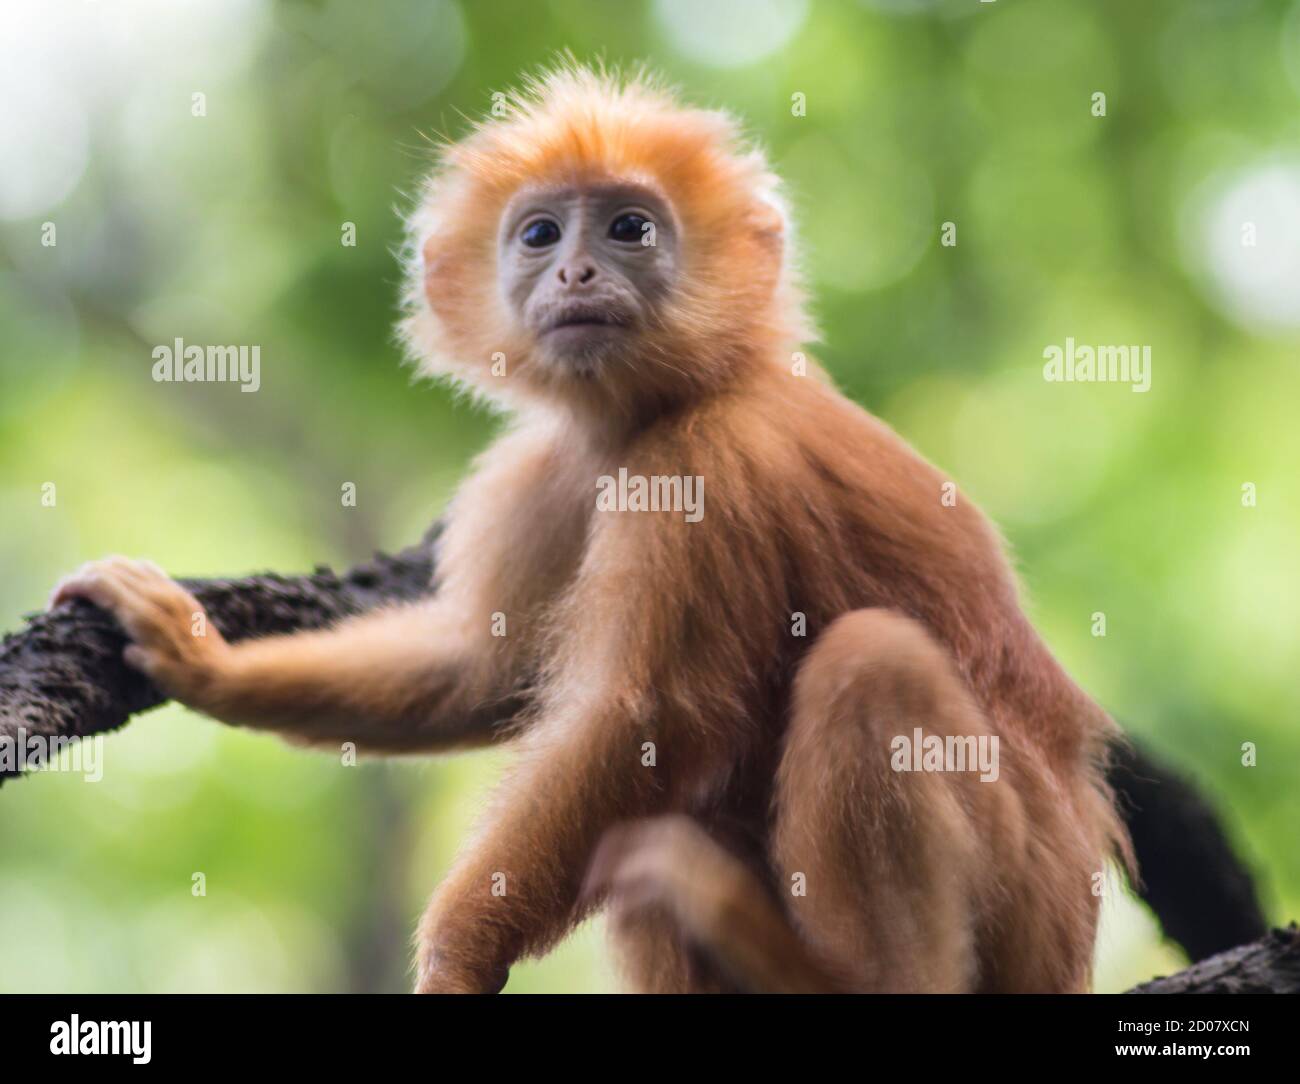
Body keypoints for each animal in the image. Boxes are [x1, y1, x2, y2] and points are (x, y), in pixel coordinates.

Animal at [49, 65, 1130, 994]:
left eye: (628, 227)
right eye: (537, 234)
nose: (571, 272)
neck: (647, 415)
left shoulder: (703, 461)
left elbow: (645, 715)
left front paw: (456, 954)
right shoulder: (543, 477)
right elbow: (485, 673)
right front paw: (200, 659)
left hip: (1026, 895)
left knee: (868, 664)